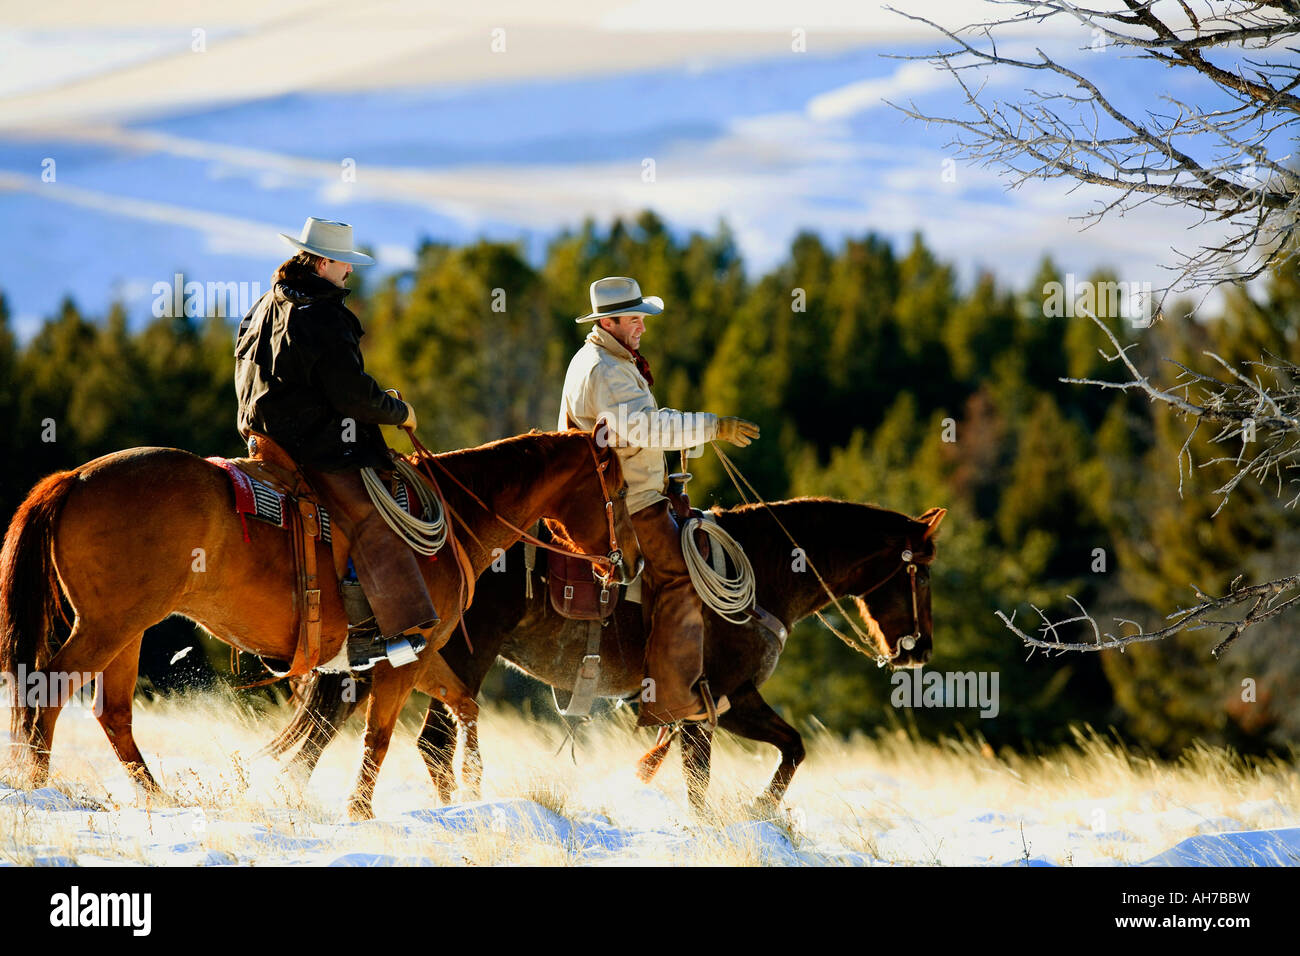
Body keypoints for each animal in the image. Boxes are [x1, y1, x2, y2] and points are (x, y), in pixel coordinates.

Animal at [0, 427, 640, 820]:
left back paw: (162, 799)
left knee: (112, 714)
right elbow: (378, 735)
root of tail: (74, 479)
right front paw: (360, 811)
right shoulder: (406, 653)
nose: (630, 561)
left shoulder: (416, 653)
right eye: (618, 488)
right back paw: (39, 787)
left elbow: (462, 703)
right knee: (48, 690)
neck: (459, 517)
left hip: (127, 632)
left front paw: (470, 787)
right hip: (108, 626)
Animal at [266, 498, 945, 812]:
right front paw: (740, 812)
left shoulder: (715, 705)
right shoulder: (720, 700)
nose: (919, 651)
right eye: (921, 572)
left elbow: (770, 751)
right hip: (464, 662)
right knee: (432, 743)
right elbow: (722, 769)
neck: (764, 570)